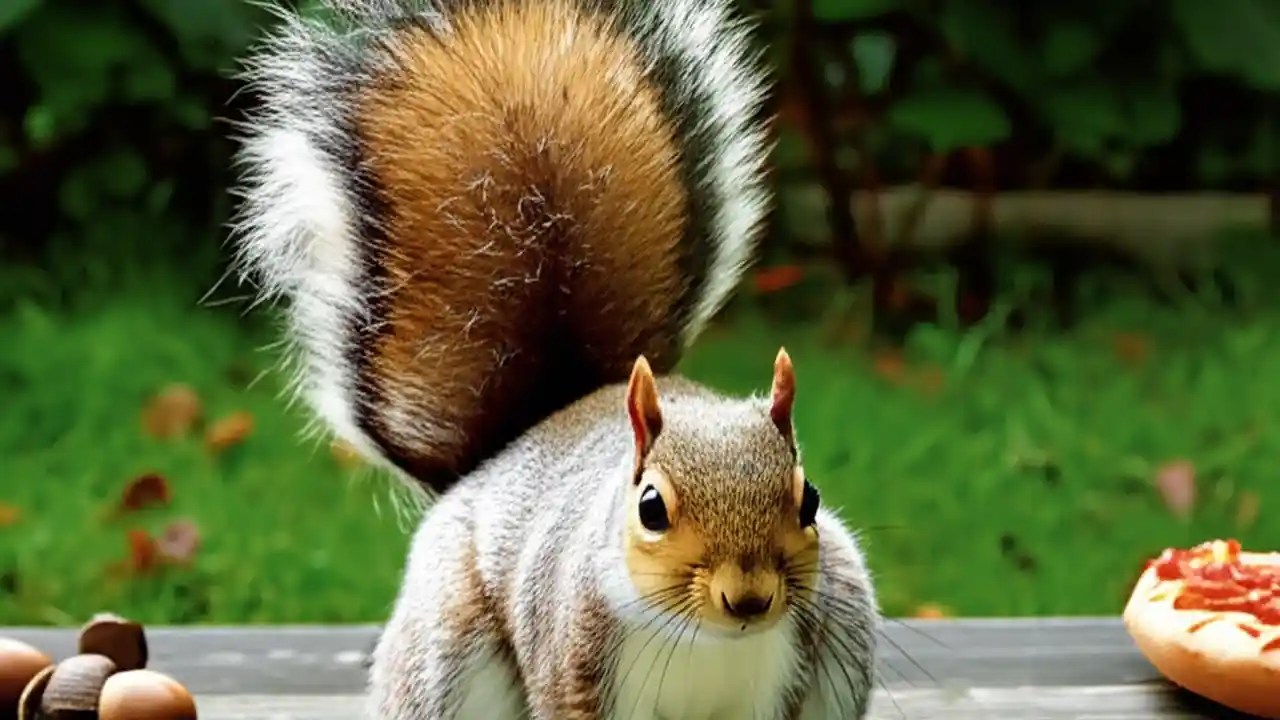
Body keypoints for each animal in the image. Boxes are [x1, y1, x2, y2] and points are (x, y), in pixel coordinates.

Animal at [230, 0, 880, 718]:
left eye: (809, 500)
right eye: (650, 508)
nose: (749, 599)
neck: (703, 642)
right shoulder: (571, 656)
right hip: (444, 654)